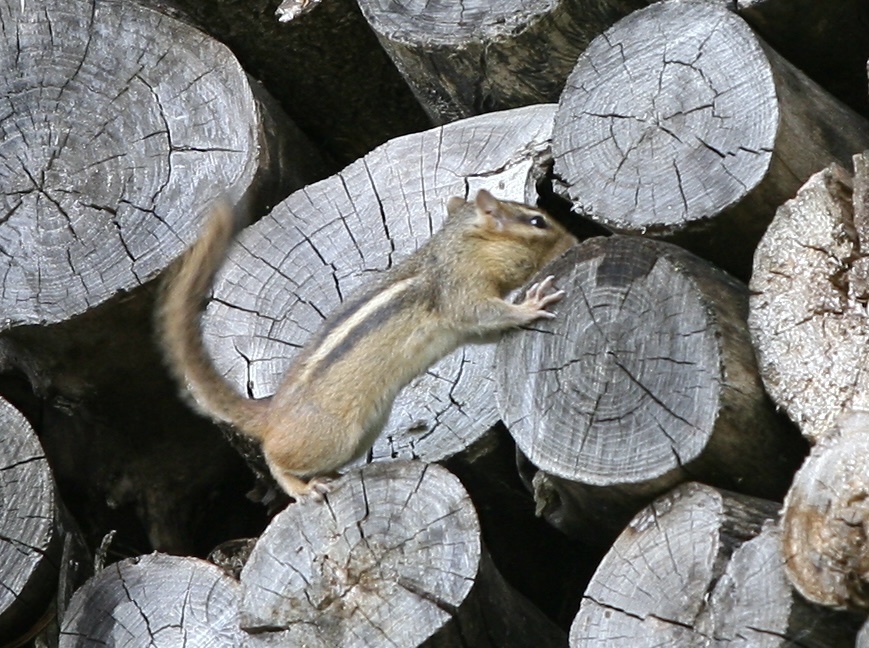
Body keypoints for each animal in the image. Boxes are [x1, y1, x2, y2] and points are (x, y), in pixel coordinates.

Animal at [158, 189, 576, 500]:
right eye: (537, 221)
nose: (575, 239)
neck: (459, 247)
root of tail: (272, 412)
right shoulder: (461, 293)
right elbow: (486, 312)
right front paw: (530, 303)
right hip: (333, 437)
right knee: (276, 459)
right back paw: (303, 488)